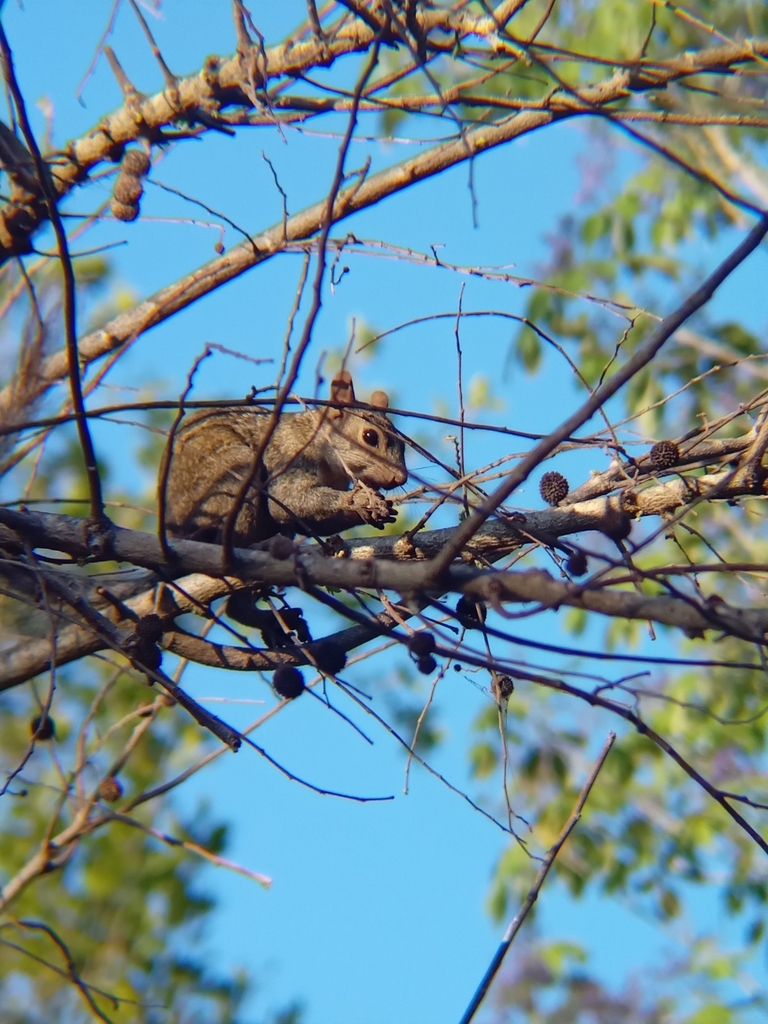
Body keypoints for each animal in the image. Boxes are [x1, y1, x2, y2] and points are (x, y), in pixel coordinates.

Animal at [159, 371, 407, 547]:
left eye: (404, 443)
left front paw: (368, 511)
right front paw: (357, 500)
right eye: (370, 436)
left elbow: (315, 525)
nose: (400, 478)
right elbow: (287, 499)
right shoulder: (290, 455)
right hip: (224, 478)